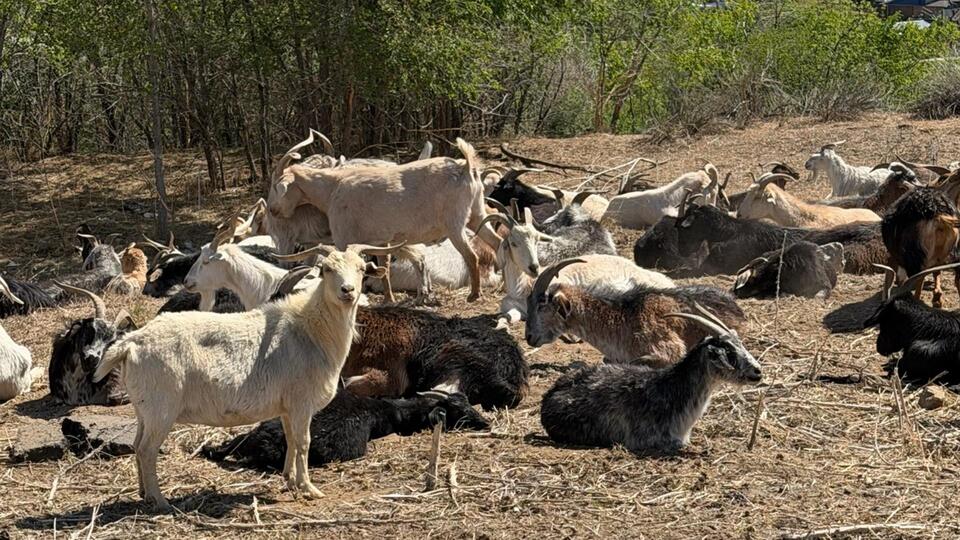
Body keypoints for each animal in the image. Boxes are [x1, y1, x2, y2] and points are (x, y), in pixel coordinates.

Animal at [92, 246, 386, 509]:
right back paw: (160, 501)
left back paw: (144, 493)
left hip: (145, 408)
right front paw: (309, 488)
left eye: (361, 269)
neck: (310, 330)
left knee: (137, 445)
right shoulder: (301, 402)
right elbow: (304, 443)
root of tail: (131, 343)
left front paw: (290, 481)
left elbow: (291, 440)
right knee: (146, 450)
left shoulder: (287, 407)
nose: (348, 291)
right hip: (161, 407)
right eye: (326, 270)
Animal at [267, 132, 499, 302]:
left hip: (455, 224)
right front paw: (389, 300)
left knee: (472, 256)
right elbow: (384, 270)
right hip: (477, 215)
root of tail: (466, 167)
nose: (271, 210)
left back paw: (474, 294)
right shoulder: (381, 241)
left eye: (276, 185)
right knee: (497, 241)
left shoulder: (344, 239)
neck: (332, 188)